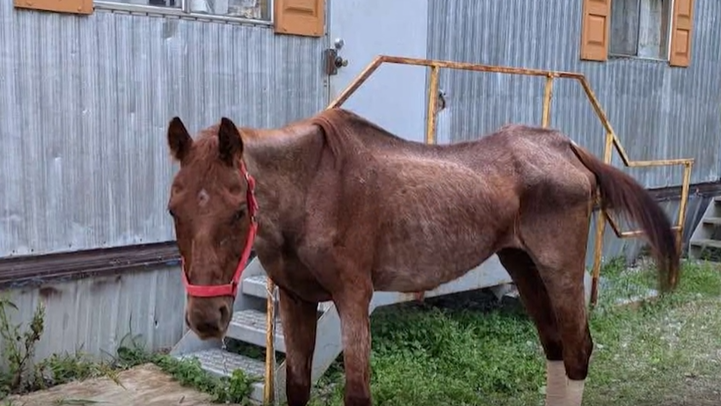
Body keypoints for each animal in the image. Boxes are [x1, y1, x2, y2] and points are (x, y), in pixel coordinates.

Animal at [165, 108, 679, 406]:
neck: (313, 187)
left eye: (237, 211)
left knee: (577, 351)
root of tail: (565, 146)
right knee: (555, 347)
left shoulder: (353, 297)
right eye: (173, 209)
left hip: (561, 271)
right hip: (524, 267)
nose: (206, 317)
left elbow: (357, 392)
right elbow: (296, 387)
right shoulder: (296, 299)